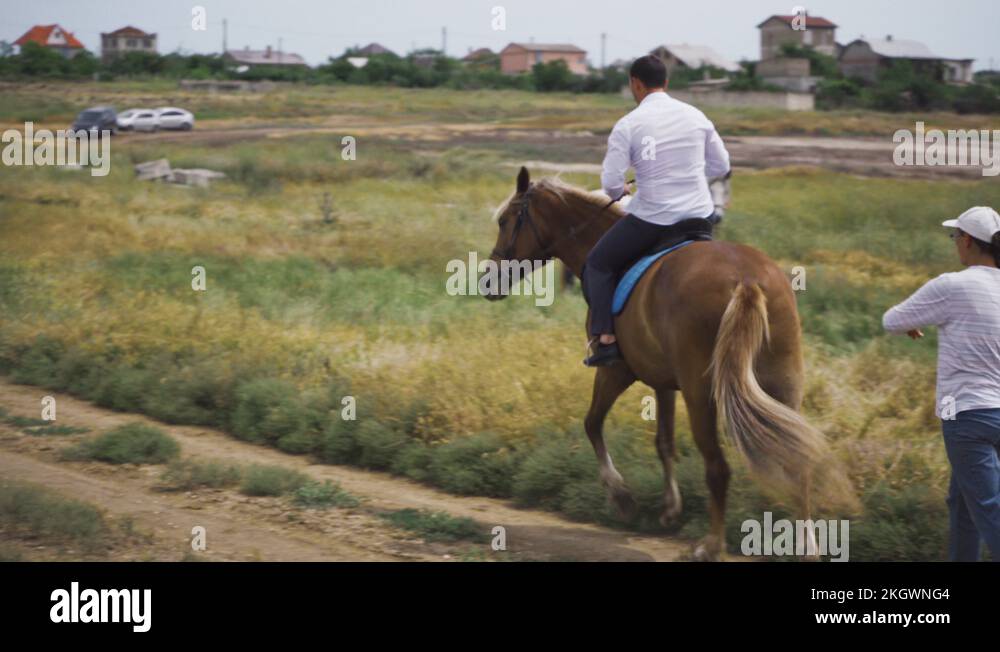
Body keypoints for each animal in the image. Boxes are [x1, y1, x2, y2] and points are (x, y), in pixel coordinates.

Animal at [484, 166, 857, 560]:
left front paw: (621, 497)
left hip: (701, 394)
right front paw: (670, 507)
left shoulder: (616, 370)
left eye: (505, 220)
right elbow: (663, 441)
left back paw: (711, 545)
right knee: (797, 461)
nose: (487, 281)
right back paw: (807, 546)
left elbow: (592, 423)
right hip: (783, 388)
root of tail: (746, 281)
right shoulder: (662, 381)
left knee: (718, 468)